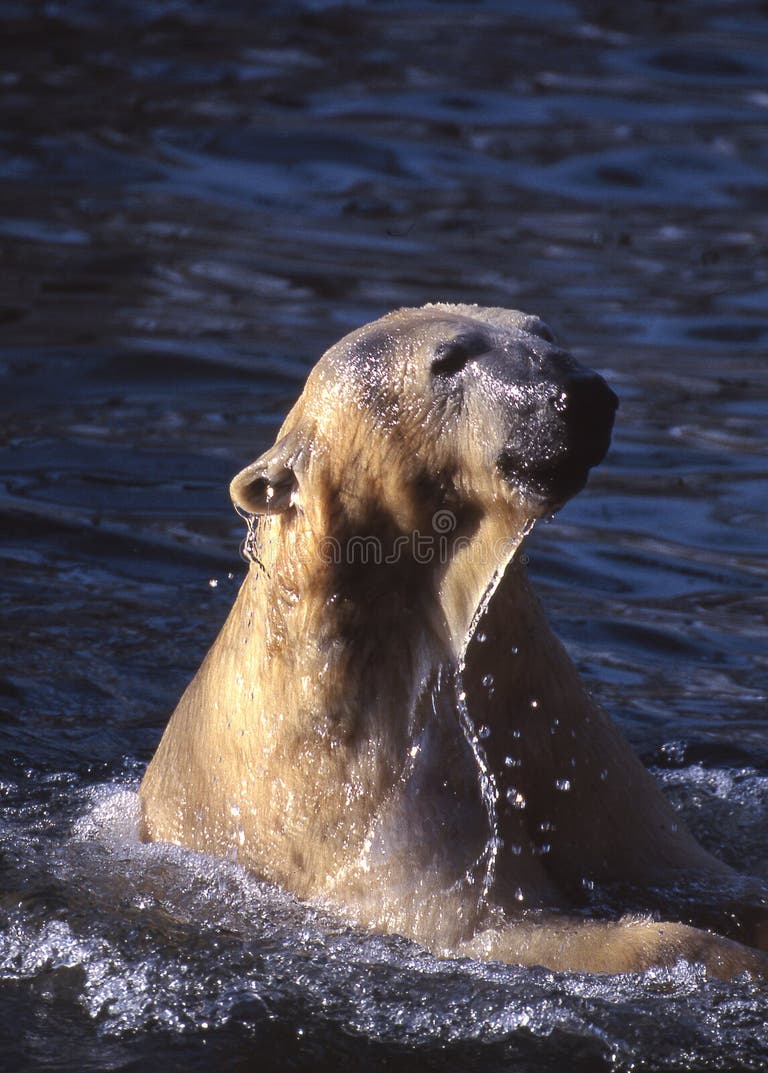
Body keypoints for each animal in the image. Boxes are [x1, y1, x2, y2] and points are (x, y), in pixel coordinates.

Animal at [140, 304, 768, 978]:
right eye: (448, 359)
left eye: (541, 331)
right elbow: (487, 921)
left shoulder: (555, 724)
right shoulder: (358, 799)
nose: (579, 395)